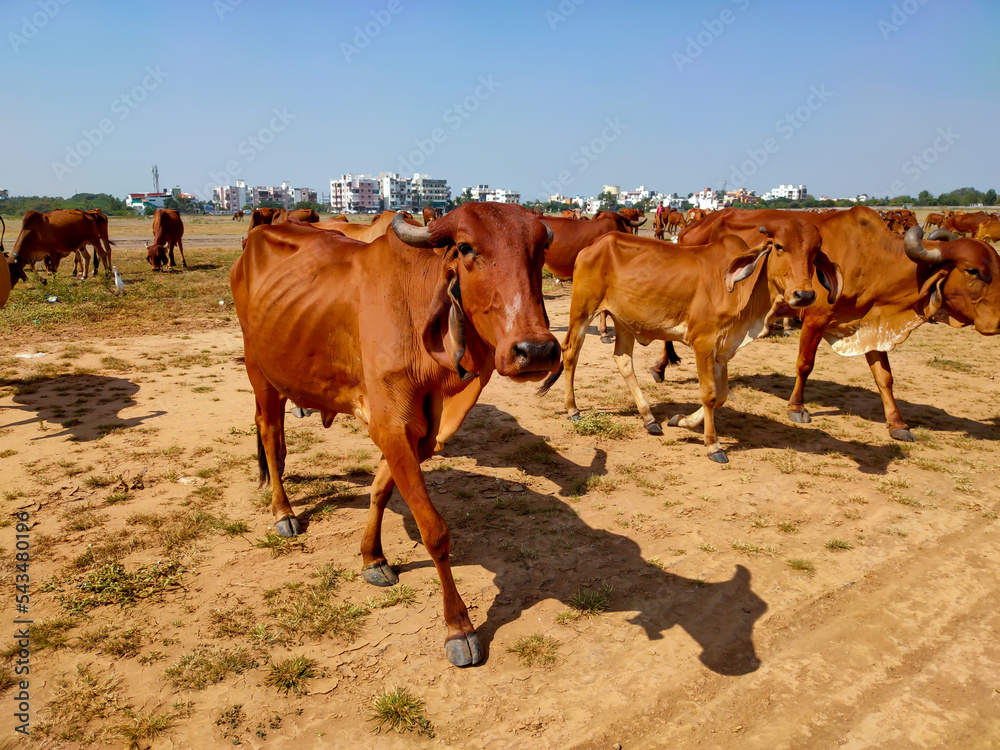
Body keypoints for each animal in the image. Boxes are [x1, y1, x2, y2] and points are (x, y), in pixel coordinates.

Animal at [231, 203, 560, 667]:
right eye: (465, 248)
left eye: (540, 248)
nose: (536, 350)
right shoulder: (392, 426)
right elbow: (434, 532)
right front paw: (458, 627)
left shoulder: (417, 435)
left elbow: (379, 491)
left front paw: (372, 556)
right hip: (260, 372)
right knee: (270, 435)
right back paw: (283, 511)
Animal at [538, 219, 837, 462]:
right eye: (778, 247)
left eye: (814, 253)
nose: (804, 295)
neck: (744, 291)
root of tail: (593, 245)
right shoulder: (703, 343)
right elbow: (709, 393)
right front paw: (713, 445)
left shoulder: (723, 350)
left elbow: (723, 395)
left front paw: (681, 421)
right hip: (583, 309)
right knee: (571, 352)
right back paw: (572, 409)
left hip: (624, 320)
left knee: (623, 361)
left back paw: (649, 418)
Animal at [668, 207, 1000, 440]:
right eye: (972, 271)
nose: (998, 322)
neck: (871, 257)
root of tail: (695, 224)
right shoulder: (815, 318)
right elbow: (805, 364)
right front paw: (797, 408)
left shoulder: (868, 324)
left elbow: (884, 377)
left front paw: (897, 423)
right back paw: (664, 365)